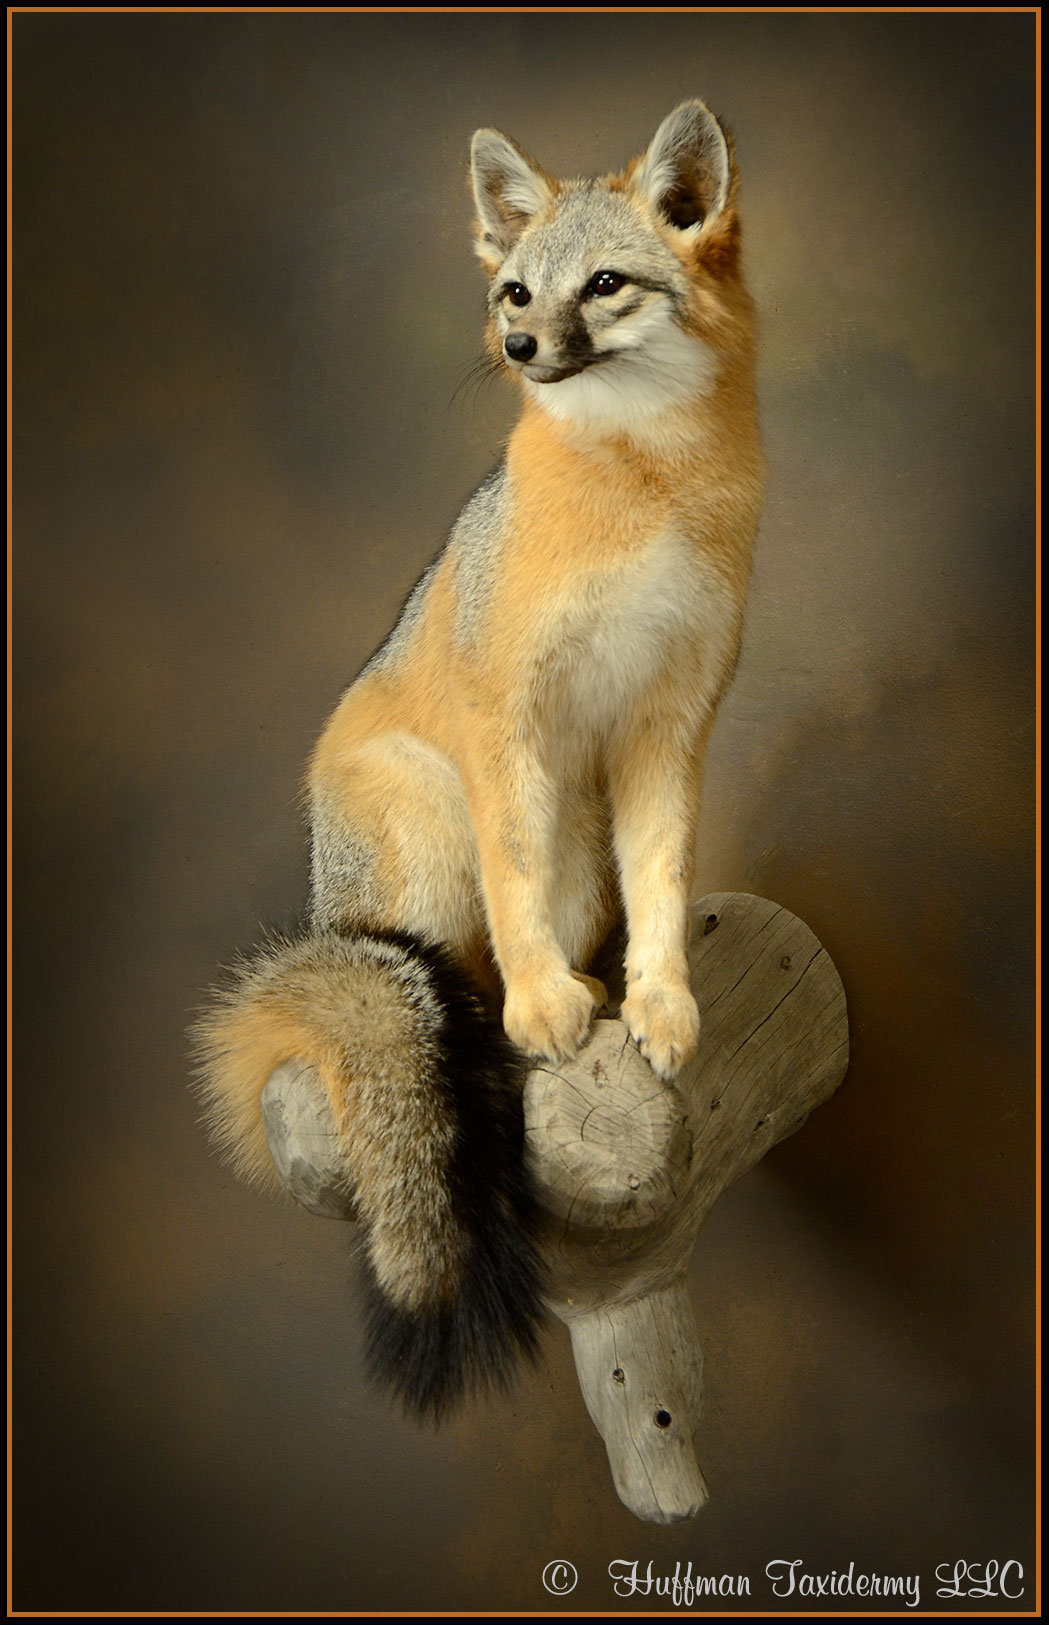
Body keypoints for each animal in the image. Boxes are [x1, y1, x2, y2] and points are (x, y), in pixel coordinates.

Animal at [194, 98, 764, 1422]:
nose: (516, 344)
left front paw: (657, 1001)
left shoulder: (672, 722)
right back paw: (498, 1013)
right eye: (513, 288)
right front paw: (548, 1003)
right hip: (435, 820)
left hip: (578, 844)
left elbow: (665, 882)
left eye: (601, 285)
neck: (642, 491)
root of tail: (328, 903)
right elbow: (515, 893)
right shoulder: (509, 725)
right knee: (449, 973)